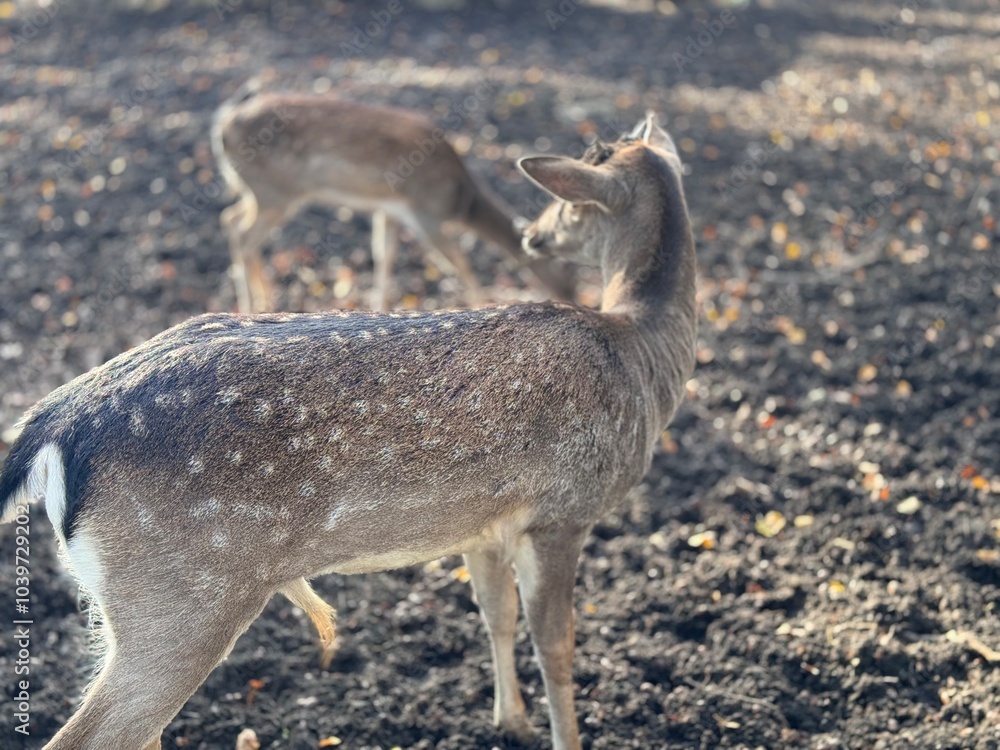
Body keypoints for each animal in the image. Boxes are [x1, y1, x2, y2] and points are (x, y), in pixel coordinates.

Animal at [0, 113, 697, 750]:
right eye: (572, 197)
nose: (533, 236)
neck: (641, 356)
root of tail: (52, 424)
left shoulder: (483, 525)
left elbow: (495, 616)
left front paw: (512, 724)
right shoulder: (564, 510)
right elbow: (557, 647)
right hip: (180, 597)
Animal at [212, 83, 575, 313]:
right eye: (559, 261)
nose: (573, 295)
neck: (460, 198)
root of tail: (221, 127)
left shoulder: (388, 210)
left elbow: (383, 254)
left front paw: (379, 308)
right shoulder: (426, 213)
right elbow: (458, 262)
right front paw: (483, 303)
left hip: (258, 191)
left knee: (230, 219)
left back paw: (267, 302)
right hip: (275, 191)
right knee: (241, 234)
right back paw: (251, 307)